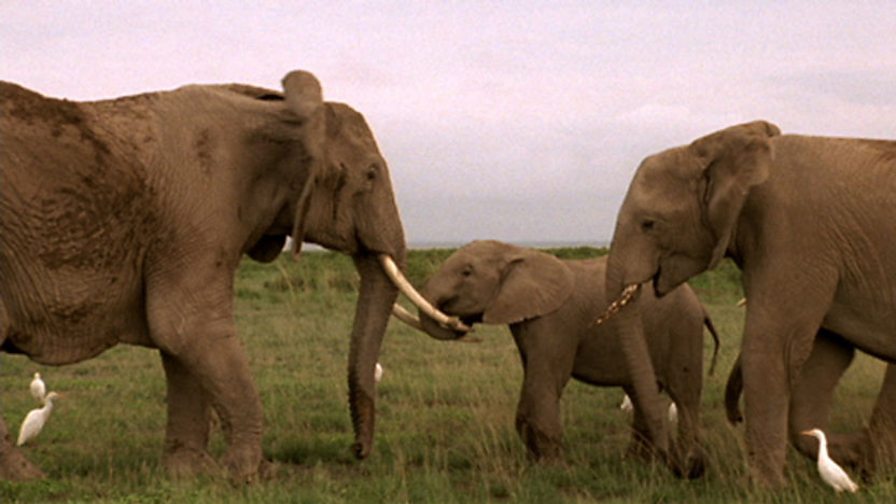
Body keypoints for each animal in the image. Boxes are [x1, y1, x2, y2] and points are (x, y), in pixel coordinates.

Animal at [0, 71, 463, 481]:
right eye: (369, 174)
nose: (357, 452)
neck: (278, 109)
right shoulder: (199, 214)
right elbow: (187, 328)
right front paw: (251, 475)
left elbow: (180, 341)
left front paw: (191, 474)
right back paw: (29, 478)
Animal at [409, 240, 719, 477]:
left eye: (466, 272)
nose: (463, 325)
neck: (517, 253)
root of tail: (700, 304)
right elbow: (532, 380)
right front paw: (533, 463)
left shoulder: (555, 321)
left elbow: (546, 380)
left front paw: (550, 470)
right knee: (641, 393)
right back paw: (636, 464)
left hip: (683, 328)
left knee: (684, 396)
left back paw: (685, 466)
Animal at [603, 120, 896, 487]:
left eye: (649, 224)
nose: (686, 467)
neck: (717, 143)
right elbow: (827, 353)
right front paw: (853, 456)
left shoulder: (793, 234)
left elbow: (771, 346)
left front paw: (767, 489)